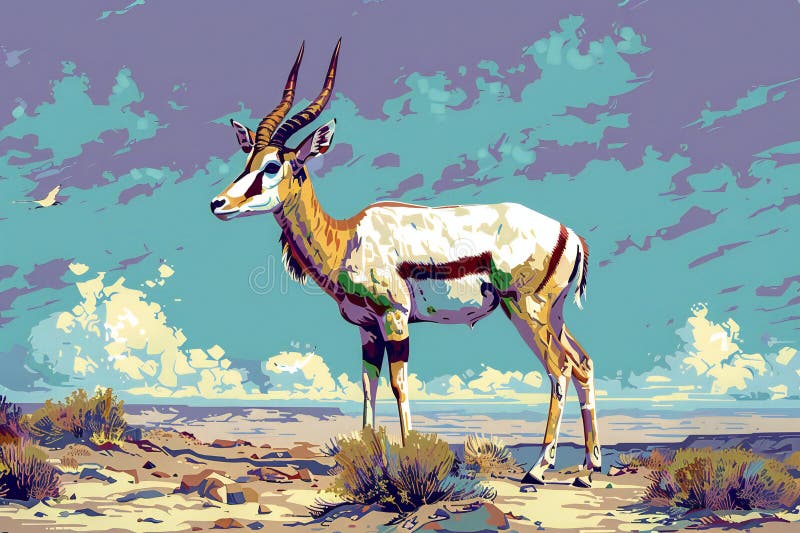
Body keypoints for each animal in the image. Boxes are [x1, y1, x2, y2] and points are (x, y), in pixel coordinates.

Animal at [210, 41, 602, 486]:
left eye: (273, 165)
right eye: (247, 161)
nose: (218, 203)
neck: (347, 238)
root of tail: (569, 233)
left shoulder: (395, 319)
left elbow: (399, 385)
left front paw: (410, 454)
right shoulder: (367, 328)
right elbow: (368, 385)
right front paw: (365, 455)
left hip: (527, 311)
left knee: (560, 368)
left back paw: (537, 470)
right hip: (554, 315)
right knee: (583, 364)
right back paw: (588, 469)